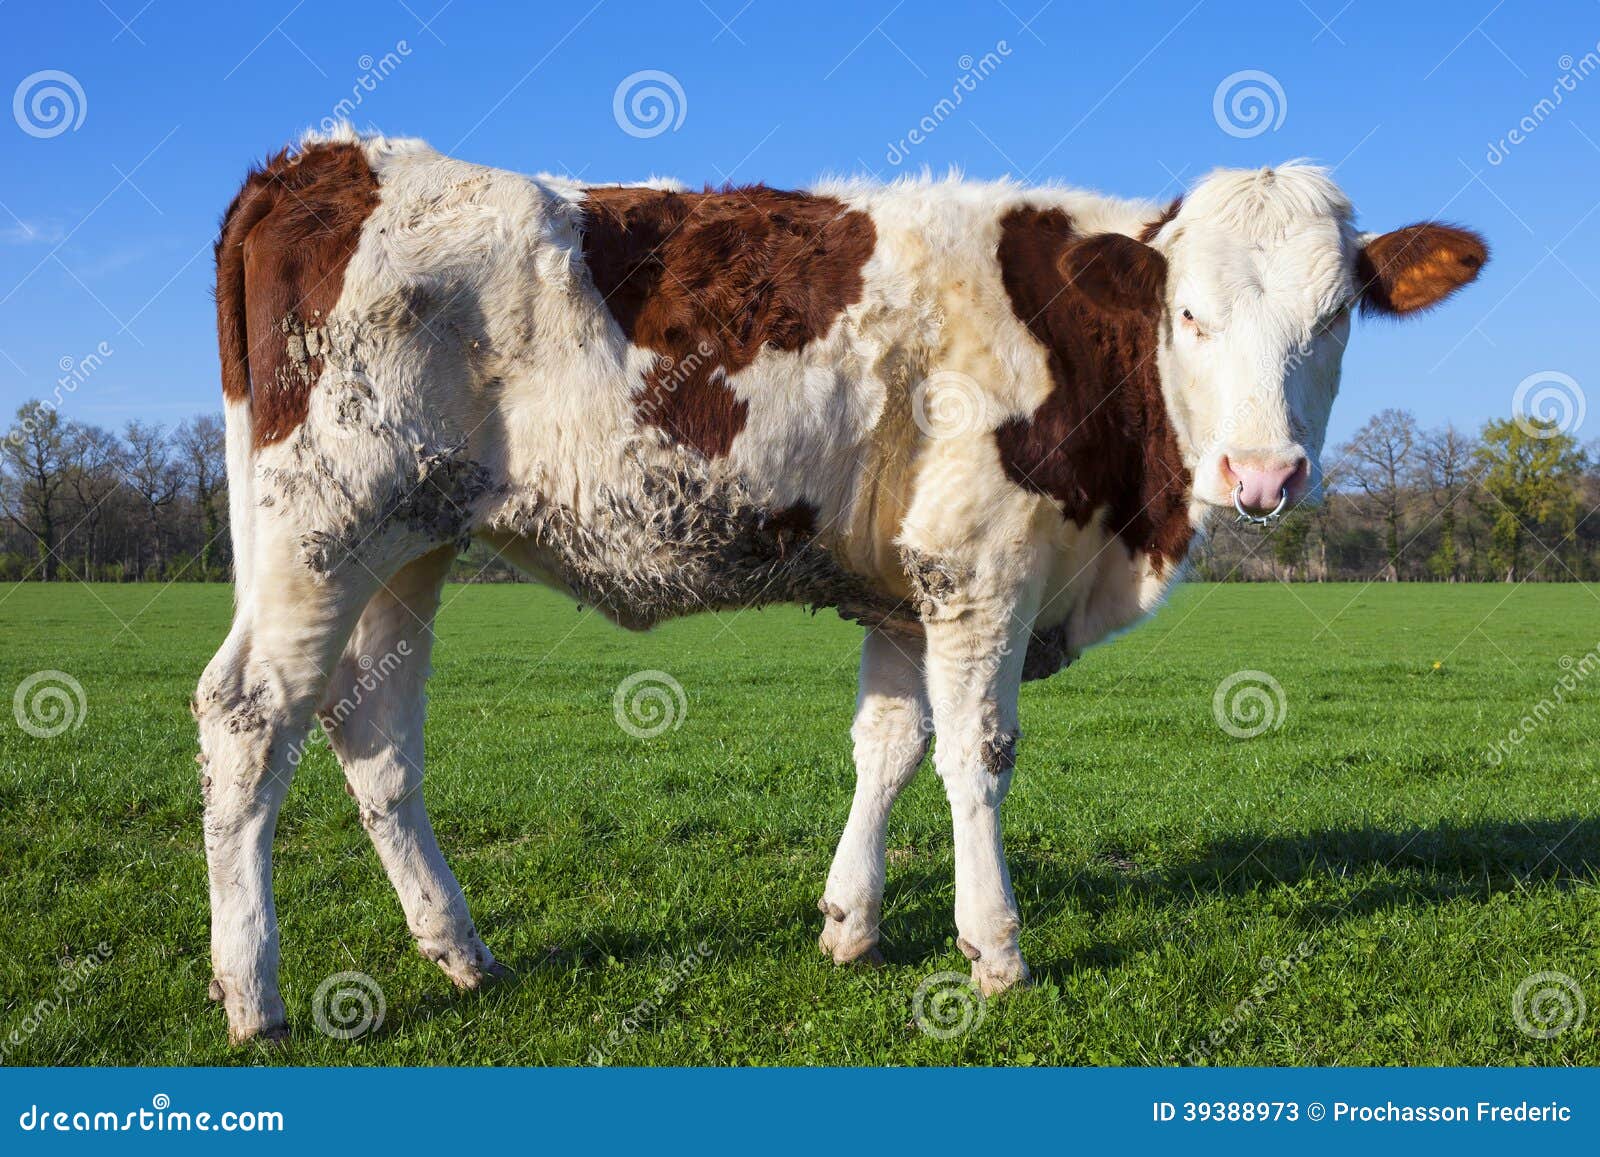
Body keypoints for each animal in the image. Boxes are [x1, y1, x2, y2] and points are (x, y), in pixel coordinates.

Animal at [196, 125, 1486, 1041]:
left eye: (1335, 317)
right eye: (1188, 313)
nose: (1262, 471)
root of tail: (324, 158)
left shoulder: (908, 582)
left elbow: (889, 744)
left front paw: (850, 922)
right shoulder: (981, 561)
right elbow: (976, 752)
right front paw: (994, 947)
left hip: (411, 538)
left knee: (371, 728)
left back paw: (458, 947)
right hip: (324, 519)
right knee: (250, 714)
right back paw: (253, 989)